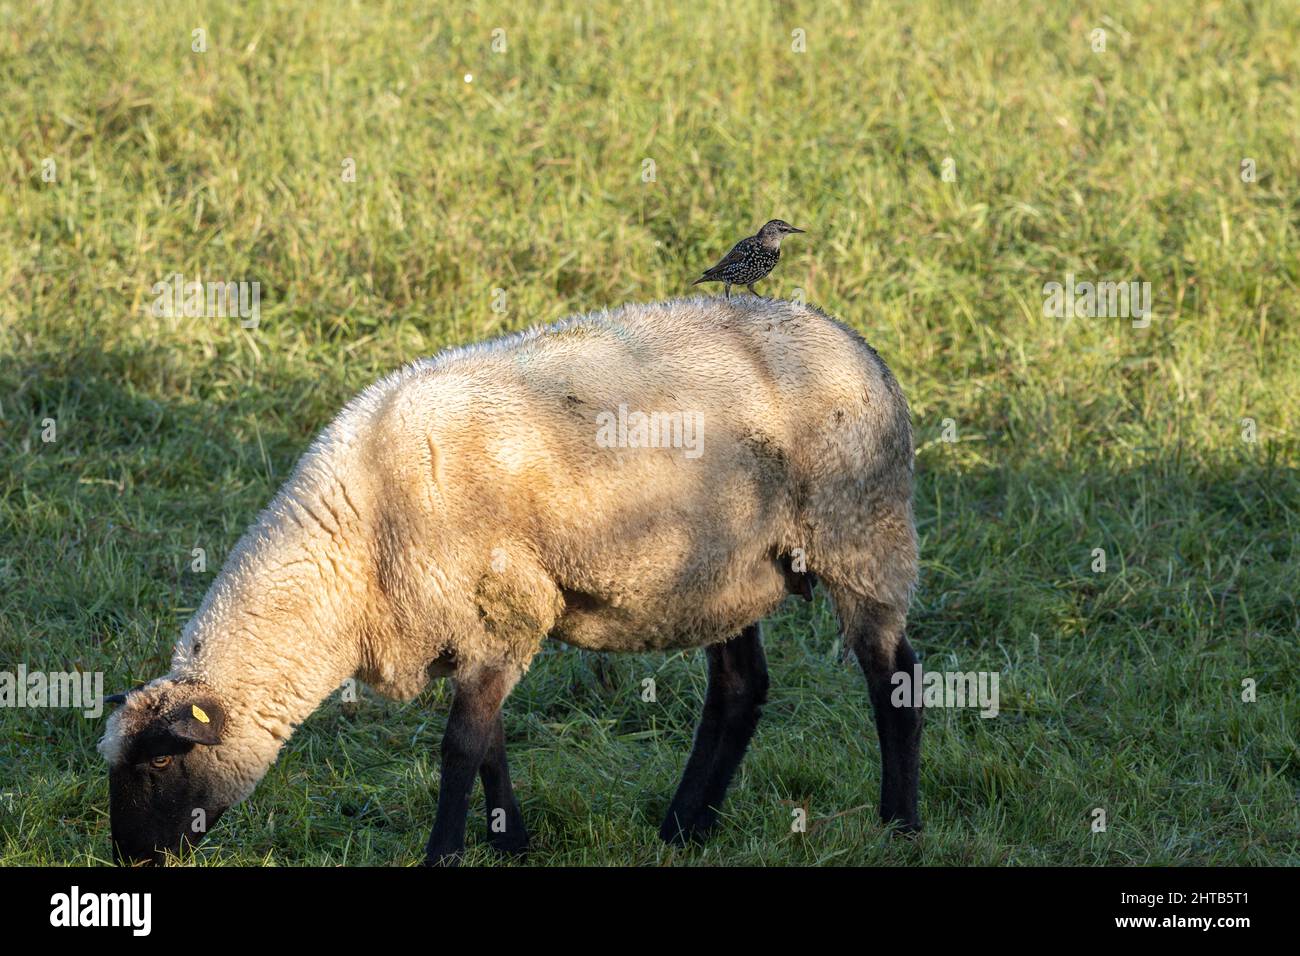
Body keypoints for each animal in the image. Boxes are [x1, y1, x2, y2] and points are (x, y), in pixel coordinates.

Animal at [99, 294, 921, 865]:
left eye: (162, 760)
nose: (131, 859)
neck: (354, 553)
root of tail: (859, 347)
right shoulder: (478, 626)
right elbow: (489, 741)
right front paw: (512, 842)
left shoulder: (503, 614)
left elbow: (461, 747)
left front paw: (444, 853)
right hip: (723, 571)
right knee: (740, 688)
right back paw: (685, 826)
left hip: (862, 533)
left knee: (895, 676)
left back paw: (899, 822)